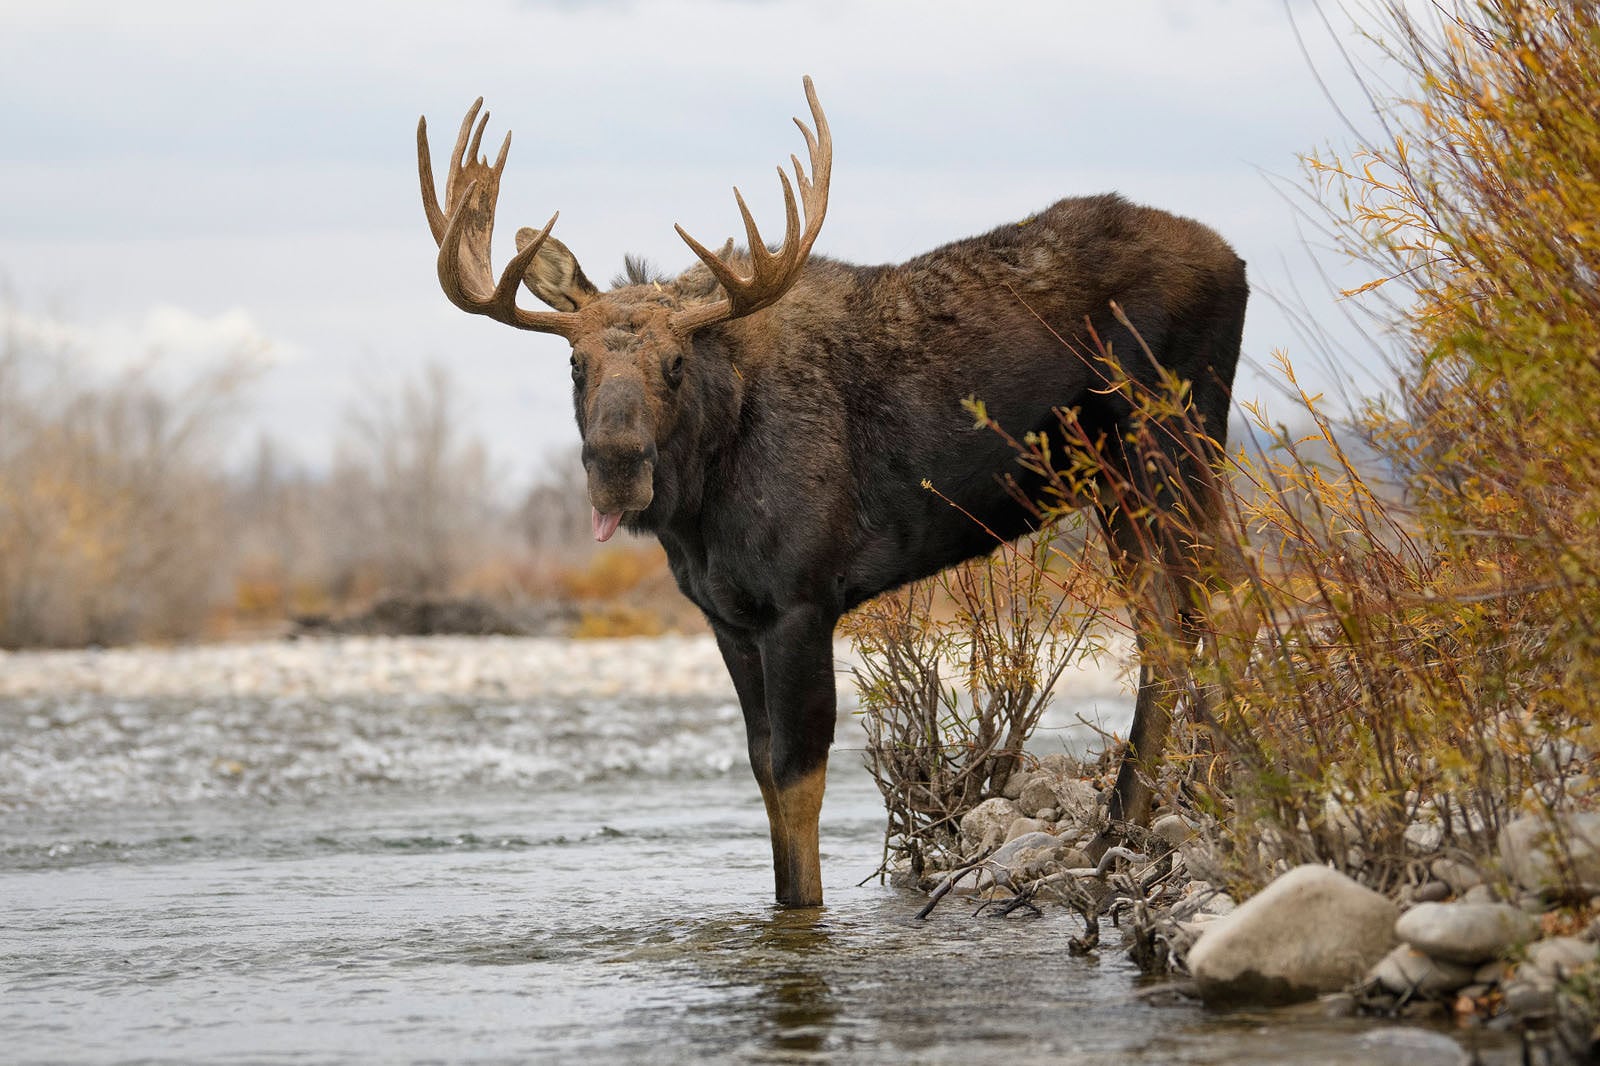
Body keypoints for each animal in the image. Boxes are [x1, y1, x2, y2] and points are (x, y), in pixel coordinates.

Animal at [417, 77, 1247, 908]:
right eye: (575, 363)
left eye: (675, 363)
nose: (617, 465)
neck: (702, 504)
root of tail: (1236, 260)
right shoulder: (727, 618)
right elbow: (761, 769)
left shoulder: (802, 602)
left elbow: (798, 779)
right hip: (1118, 483)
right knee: (1168, 625)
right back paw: (1133, 819)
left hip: (1172, 445)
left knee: (1204, 605)